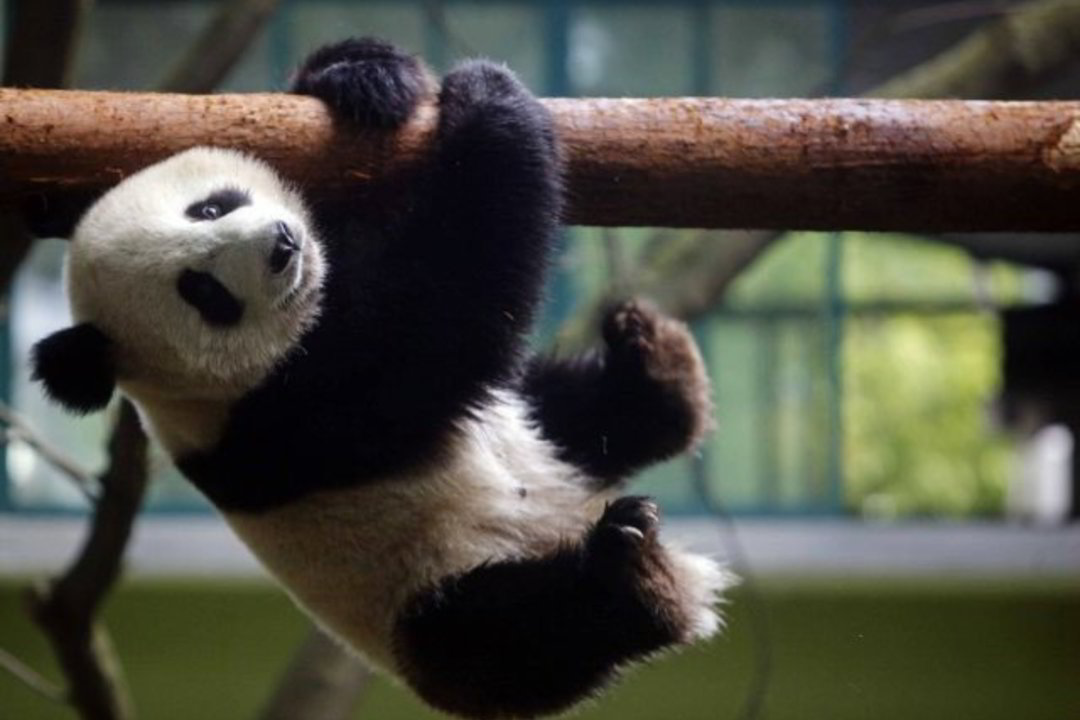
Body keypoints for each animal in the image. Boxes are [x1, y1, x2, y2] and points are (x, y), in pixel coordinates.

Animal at [29, 38, 731, 720]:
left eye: (209, 207)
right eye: (202, 292)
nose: (282, 244)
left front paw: (363, 77)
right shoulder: (296, 414)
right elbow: (443, 309)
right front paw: (490, 102)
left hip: (533, 437)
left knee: (568, 413)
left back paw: (660, 372)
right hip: (435, 603)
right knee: (527, 628)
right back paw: (638, 575)